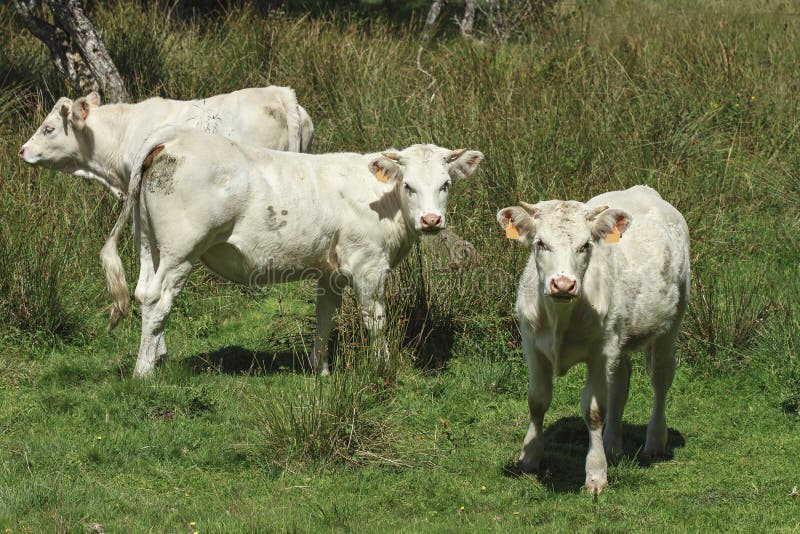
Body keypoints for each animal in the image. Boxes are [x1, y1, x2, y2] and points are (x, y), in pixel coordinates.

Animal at [101, 125, 483, 377]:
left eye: (446, 184)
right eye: (408, 185)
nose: (431, 220)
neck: (383, 202)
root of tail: (173, 137)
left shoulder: (331, 272)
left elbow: (325, 316)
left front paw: (321, 371)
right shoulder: (369, 265)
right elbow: (375, 320)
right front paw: (383, 370)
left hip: (148, 243)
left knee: (143, 292)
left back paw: (157, 356)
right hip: (181, 250)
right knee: (159, 299)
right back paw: (144, 372)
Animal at [497, 185, 690, 493]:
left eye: (585, 245)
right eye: (540, 243)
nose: (563, 284)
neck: (561, 318)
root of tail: (643, 189)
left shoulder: (600, 352)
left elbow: (594, 411)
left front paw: (596, 474)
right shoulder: (532, 345)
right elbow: (537, 400)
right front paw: (529, 458)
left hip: (671, 323)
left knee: (661, 378)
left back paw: (654, 442)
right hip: (619, 339)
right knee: (620, 384)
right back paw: (612, 445)